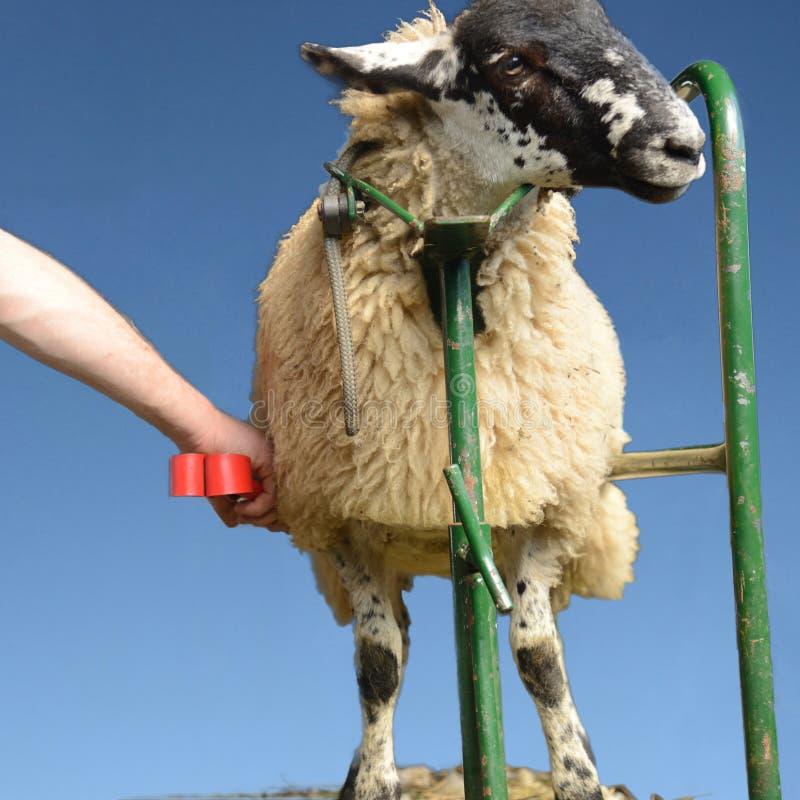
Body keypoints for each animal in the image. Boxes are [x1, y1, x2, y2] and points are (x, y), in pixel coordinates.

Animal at [252, 3, 706, 800]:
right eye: (512, 63)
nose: (686, 144)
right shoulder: (346, 520)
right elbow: (379, 667)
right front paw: (375, 781)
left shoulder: (549, 506)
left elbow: (539, 656)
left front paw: (578, 778)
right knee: (398, 640)